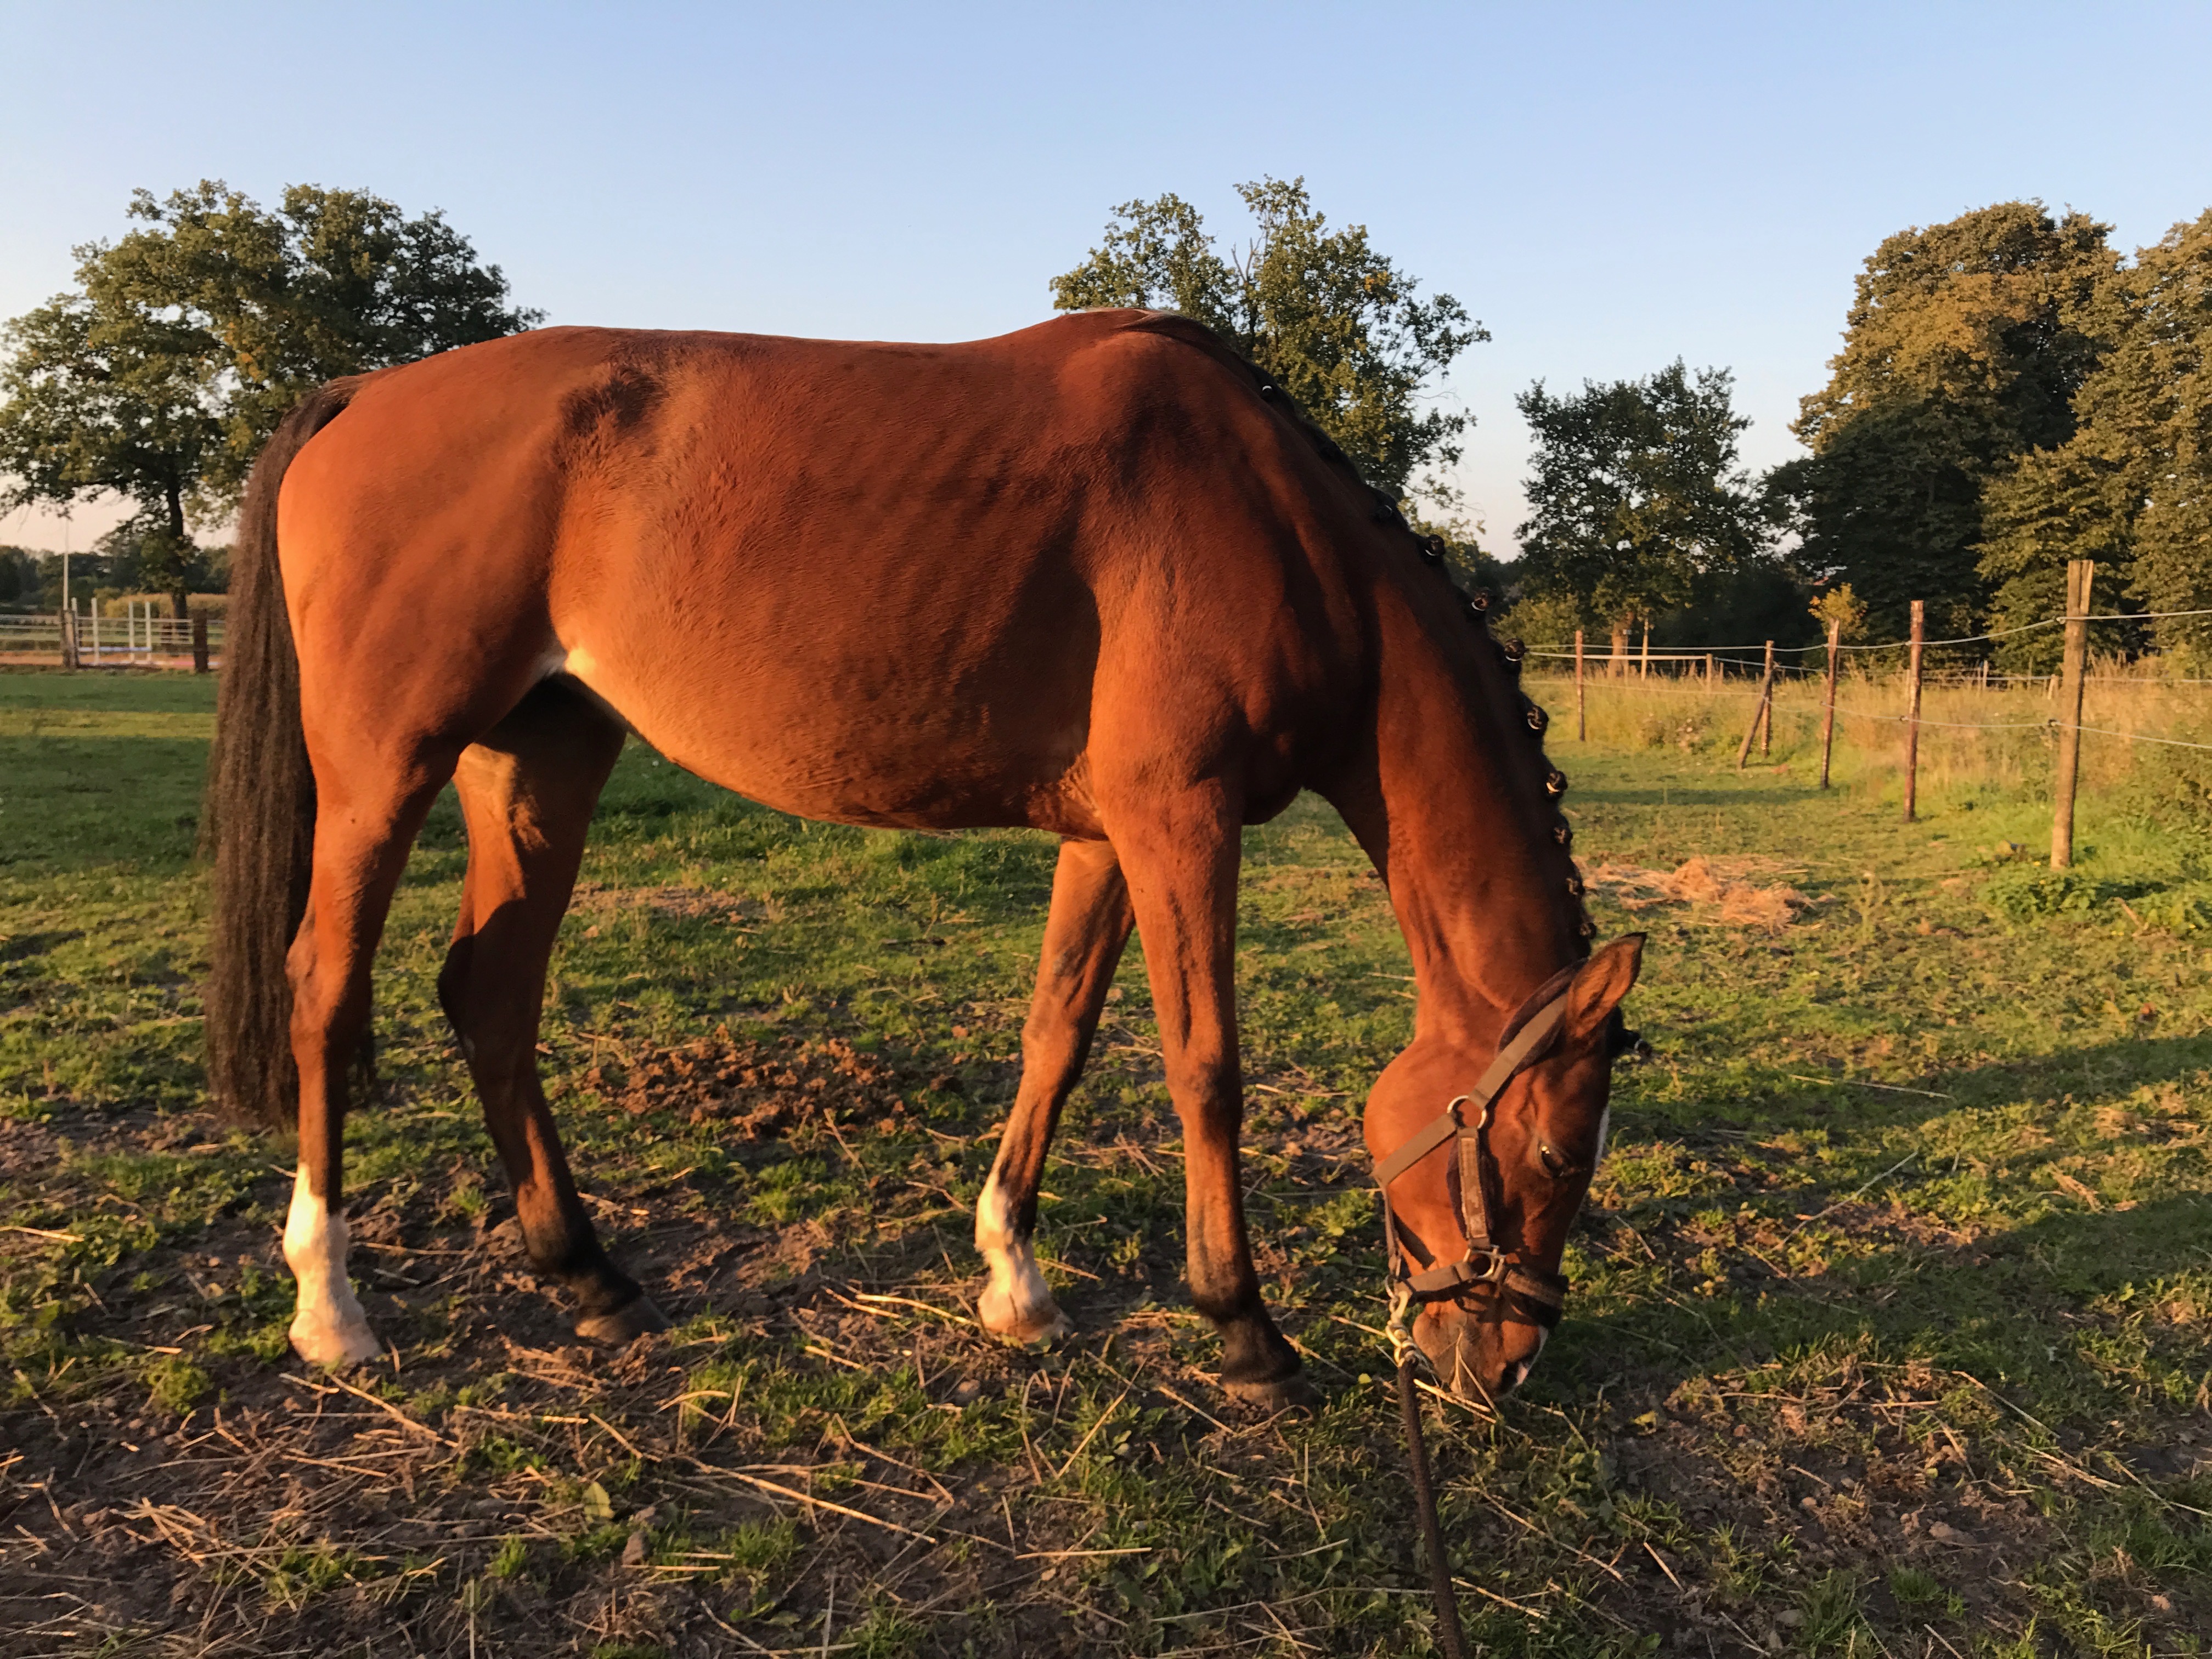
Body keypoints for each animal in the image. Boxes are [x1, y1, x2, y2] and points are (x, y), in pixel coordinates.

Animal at [203, 308, 1642, 1409]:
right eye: (1559, 1155)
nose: (1509, 1365)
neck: (1279, 531)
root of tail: (361, 397)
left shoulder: (1105, 836)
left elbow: (1058, 1036)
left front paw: (1015, 1279)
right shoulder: (1181, 820)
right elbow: (1207, 1069)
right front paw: (1246, 1330)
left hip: (542, 760)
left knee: (490, 994)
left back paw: (588, 1277)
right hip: (383, 770)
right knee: (325, 988)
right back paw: (331, 1307)